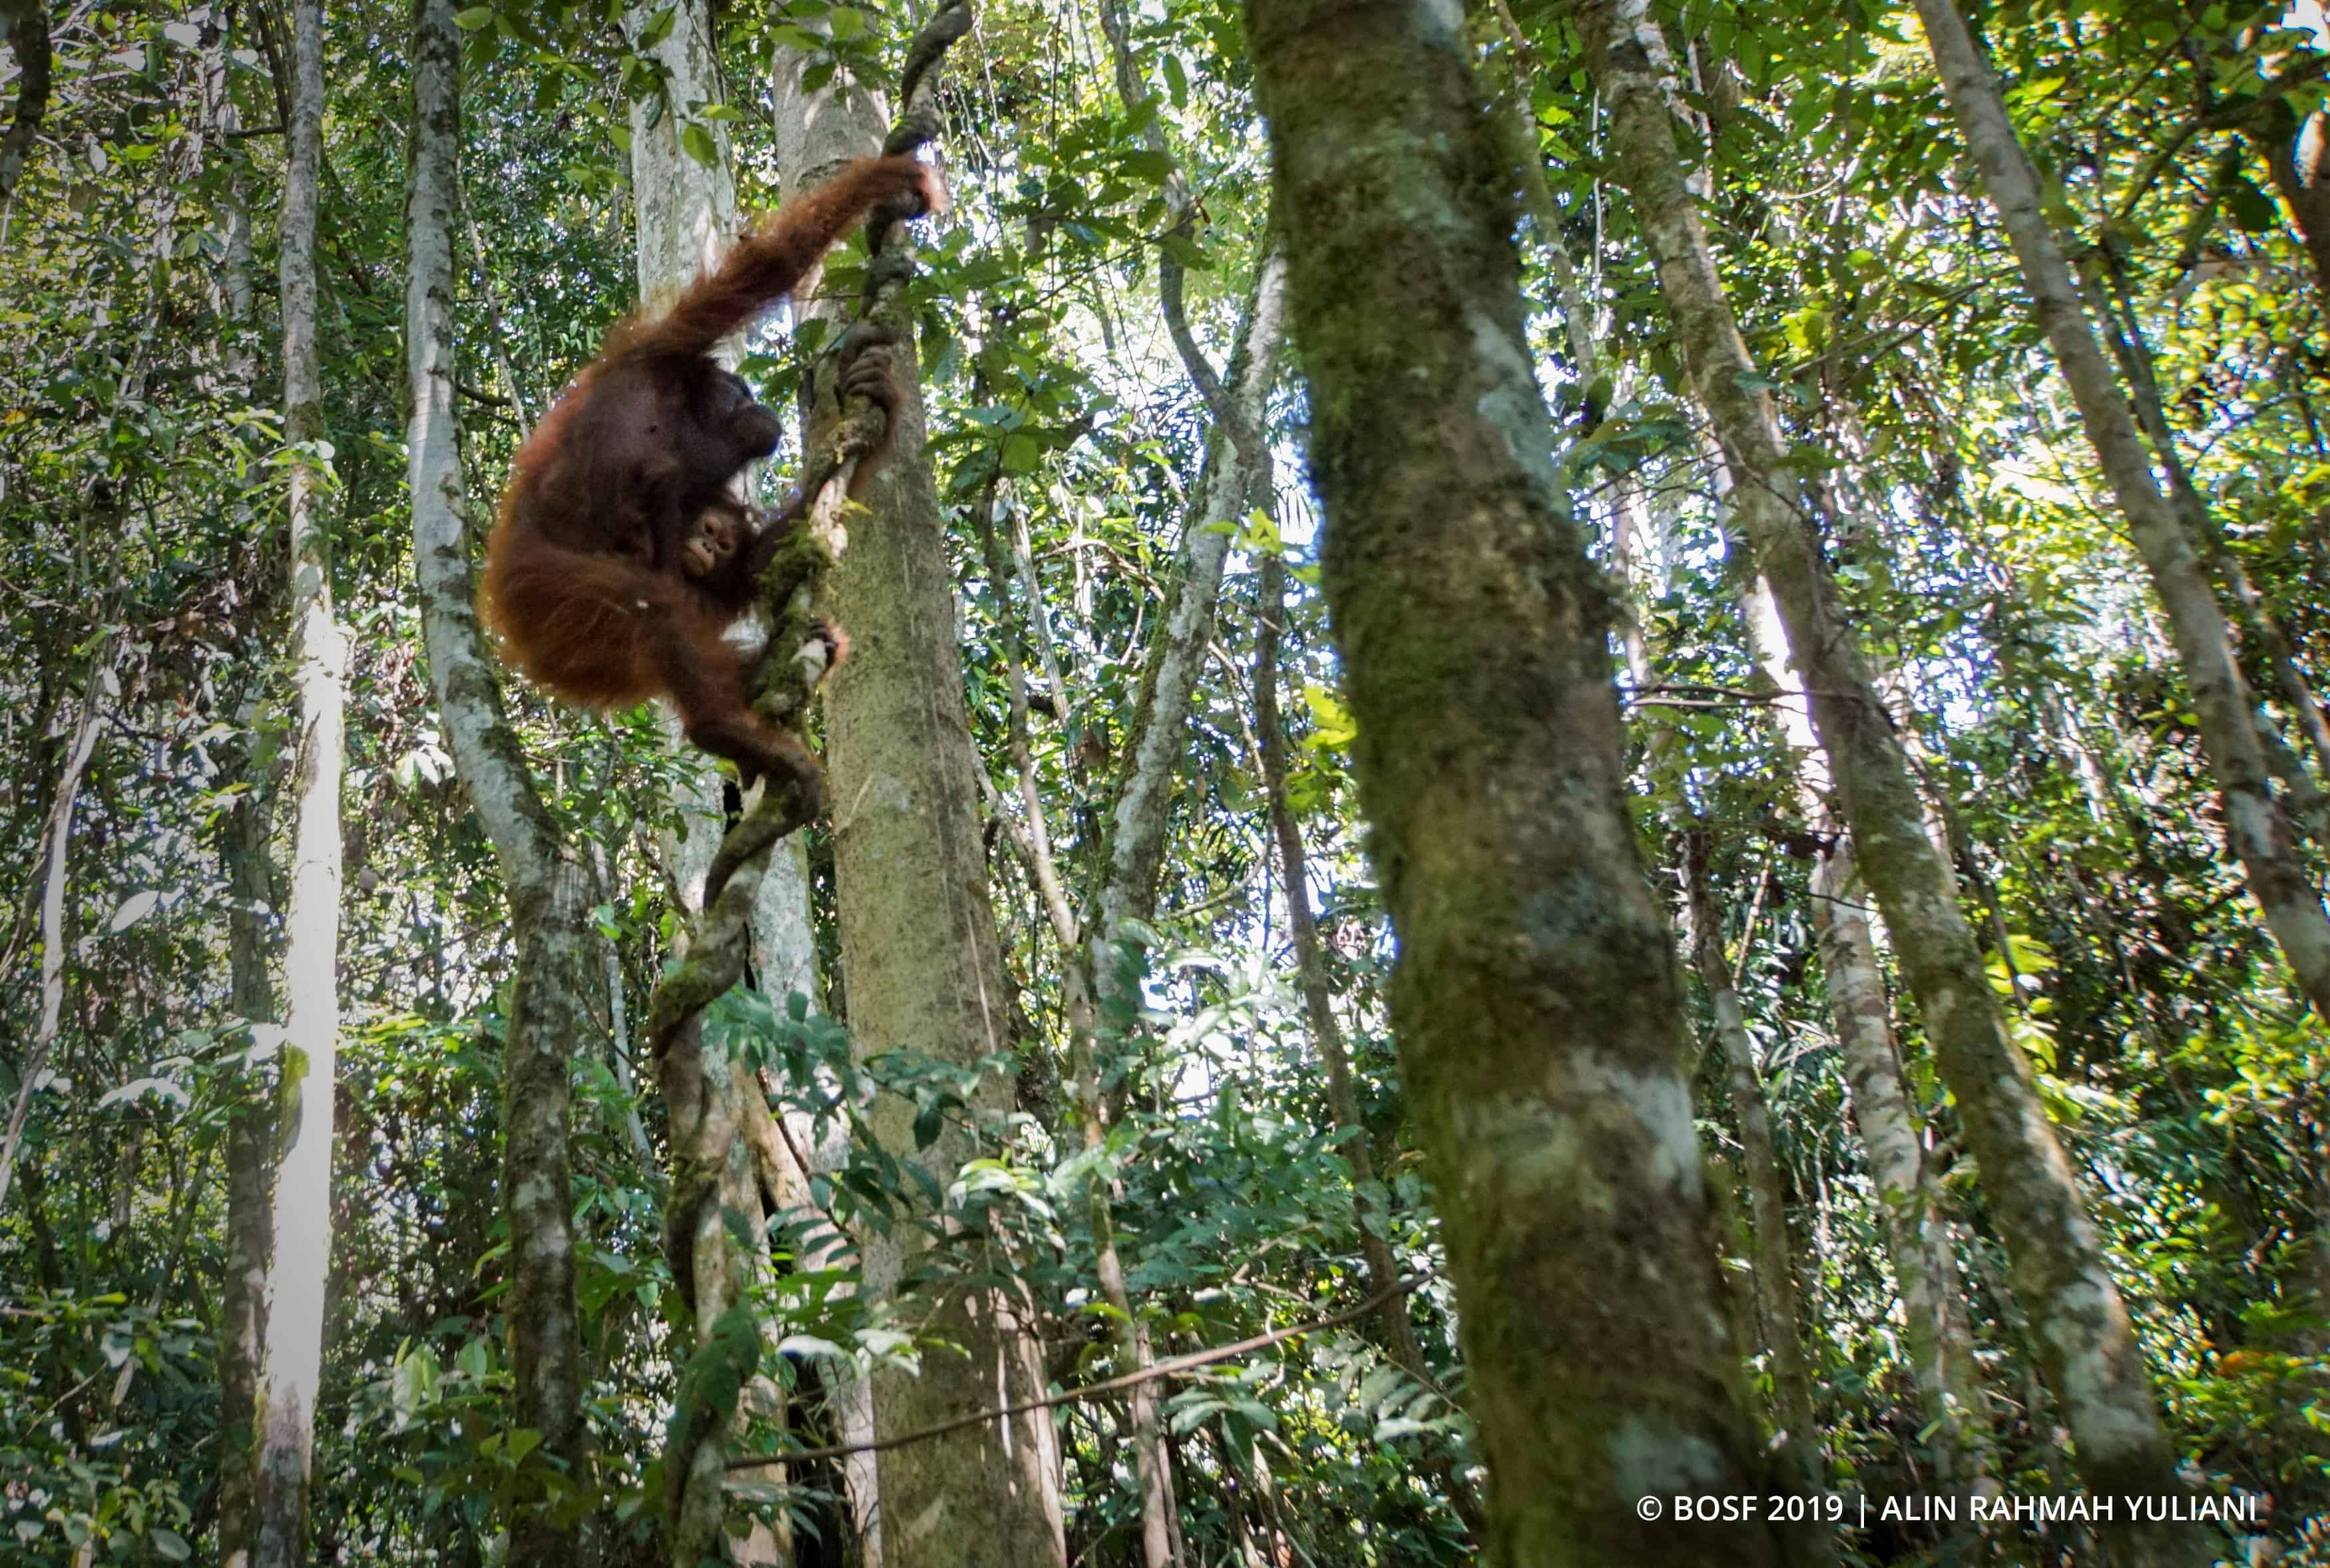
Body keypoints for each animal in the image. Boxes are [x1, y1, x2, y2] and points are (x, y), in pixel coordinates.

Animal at [480, 155, 944, 798]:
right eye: (737, 393)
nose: (757, 404)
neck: (680, 414)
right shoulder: (663, 347)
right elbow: (763, 269)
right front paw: (892, 175)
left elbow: (747, 570)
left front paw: (878, 397)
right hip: (543, 590)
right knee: (650, 605)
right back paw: (725, 729)